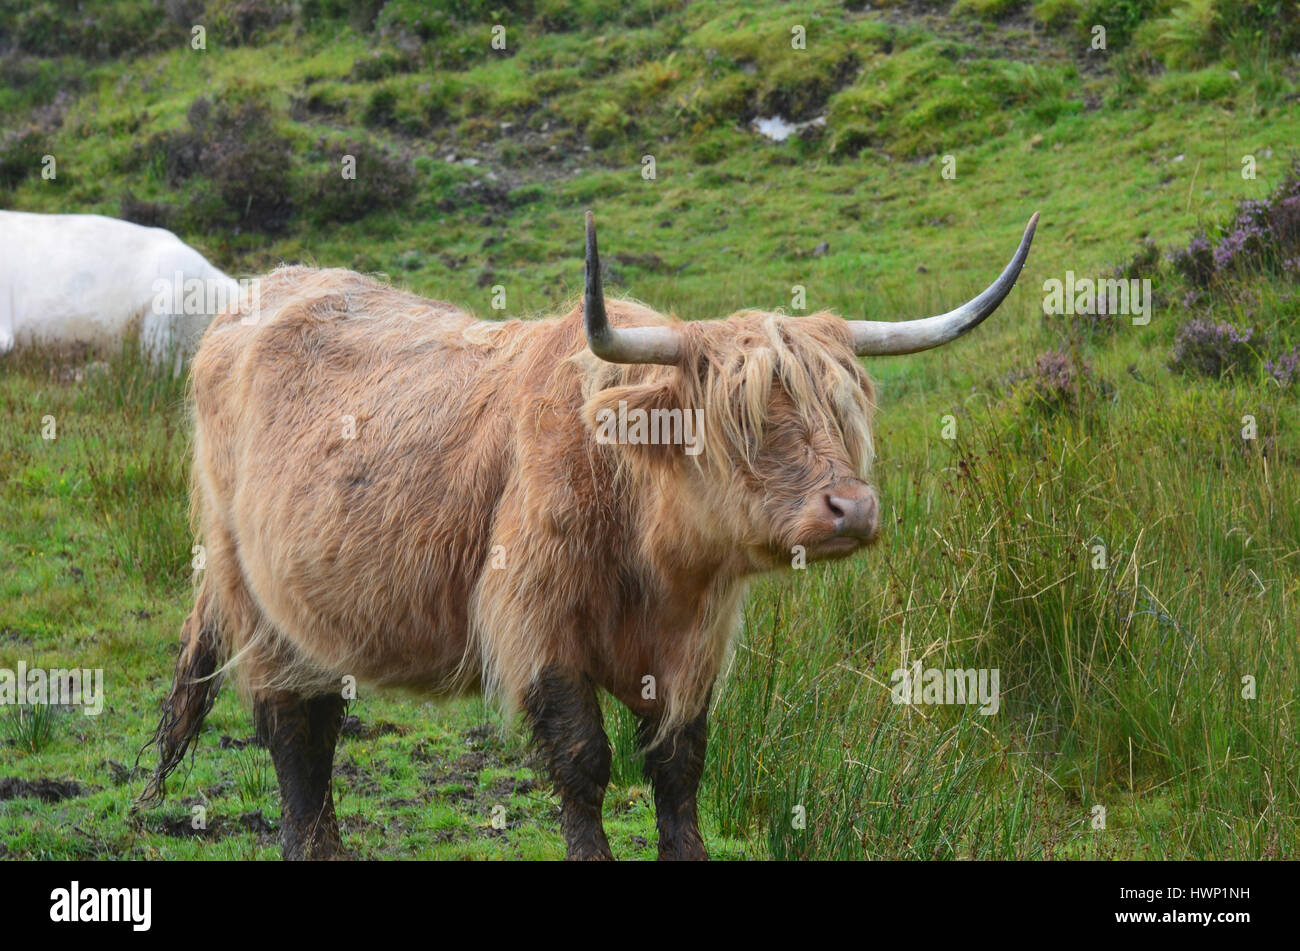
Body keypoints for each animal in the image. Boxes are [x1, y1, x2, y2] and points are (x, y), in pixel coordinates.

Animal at [138, 211, 1038, 860]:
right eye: (744, 418)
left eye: (841, 414)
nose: (852, 507)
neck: (656, 554)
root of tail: (265, 291)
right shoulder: (538, 625)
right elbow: (585, 762)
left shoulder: (692, 648)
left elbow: (679, 765)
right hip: (250, 591)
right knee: (294, 734)